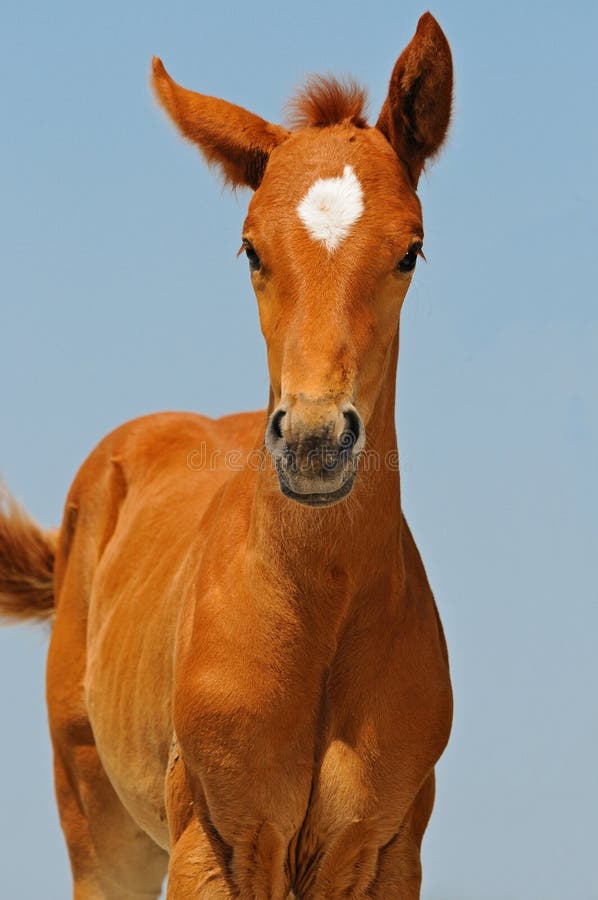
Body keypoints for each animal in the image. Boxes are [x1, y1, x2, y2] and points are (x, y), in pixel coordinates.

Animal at [0, 13, 453, 898]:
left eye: (410, 250)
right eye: (251, 249)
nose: (314, 442)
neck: (320, 617)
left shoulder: (387, 851)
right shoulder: (217, 842)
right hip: (100, 829)